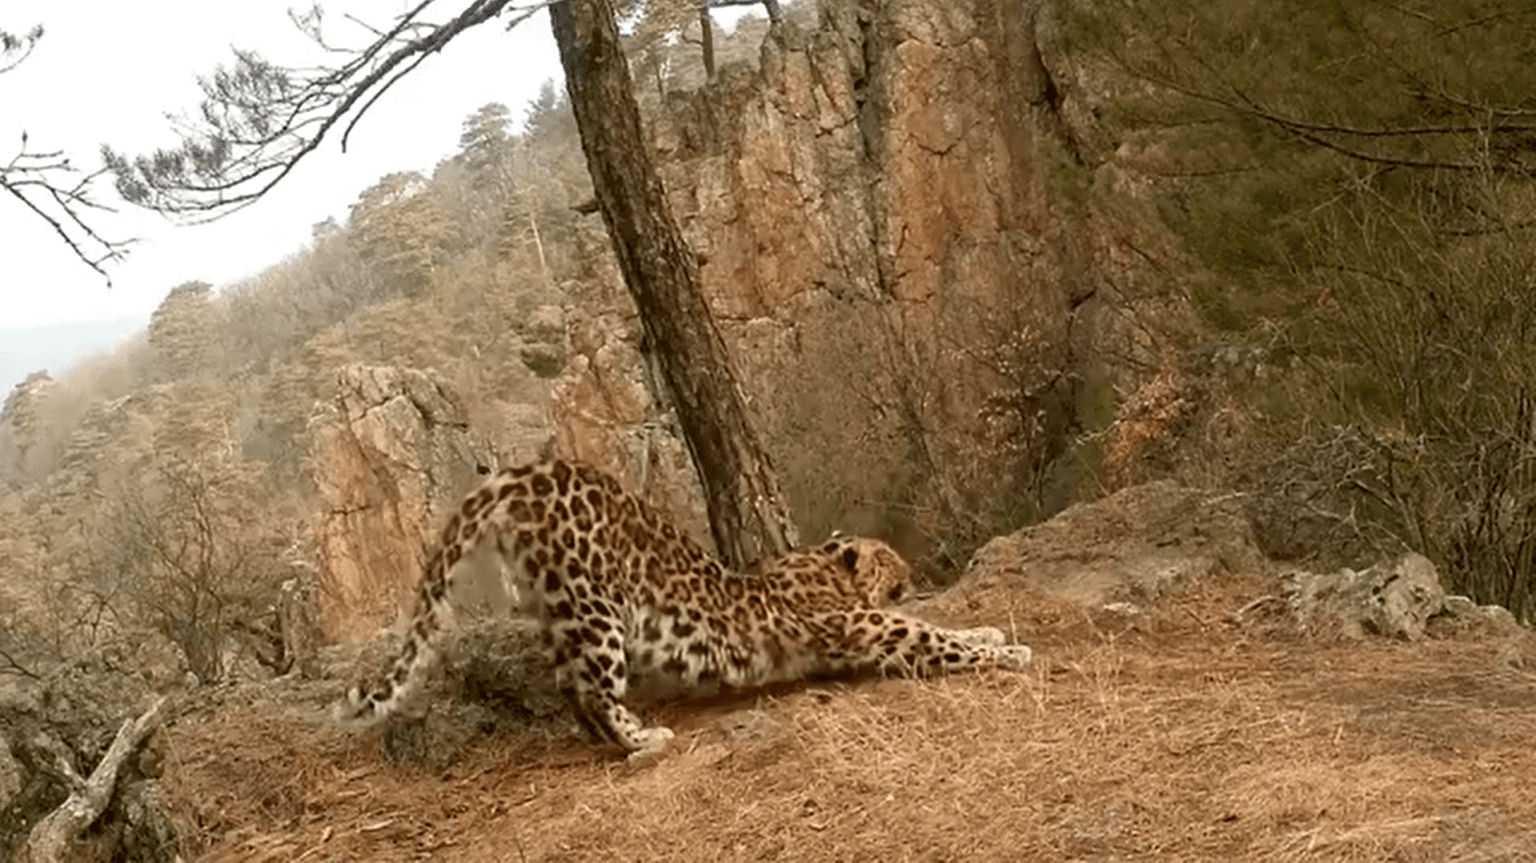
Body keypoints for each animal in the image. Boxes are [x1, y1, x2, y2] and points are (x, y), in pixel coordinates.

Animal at [335, 458, 1033, 755]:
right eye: (889, 558)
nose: (911, 569)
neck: (819, 570)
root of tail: (524, 474)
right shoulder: (860, 626)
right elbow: (927, 633)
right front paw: (1008, 649)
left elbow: (934, 625)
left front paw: (991, 632)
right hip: (596, 608)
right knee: (592, 688)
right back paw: (645, 737)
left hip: (553, 604)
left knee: (567, 687)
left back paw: (616, 742)